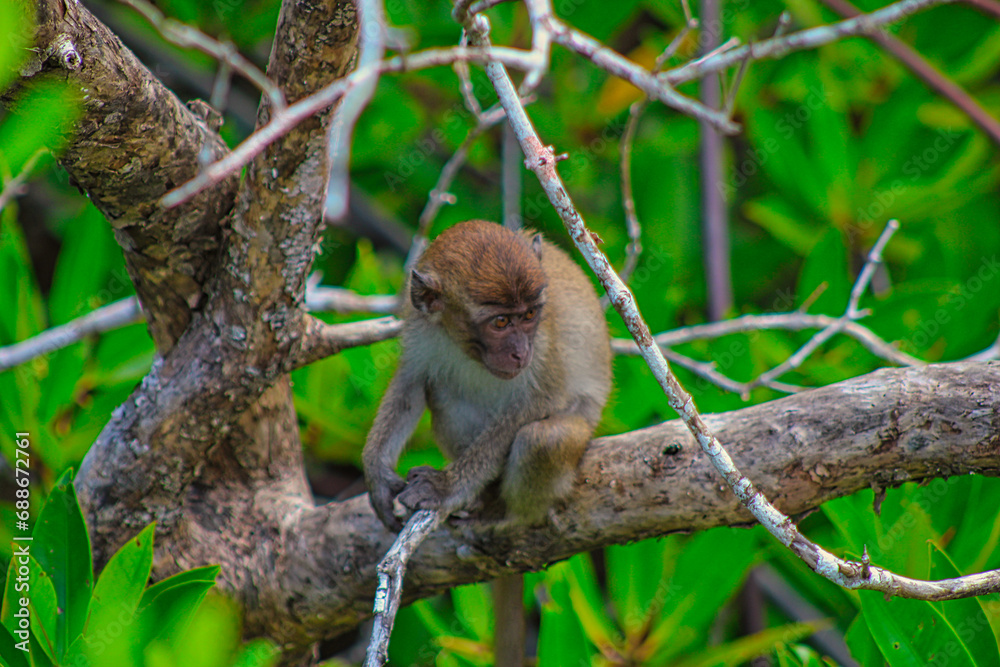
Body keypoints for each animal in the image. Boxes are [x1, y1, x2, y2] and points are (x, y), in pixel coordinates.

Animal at [361, 220, 611, 665]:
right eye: (499, 323)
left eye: (528, 316)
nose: (519, 352)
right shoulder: (421, 327)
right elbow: (412, 384)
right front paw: (376, 473)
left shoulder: (544, 345)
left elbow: (537, 404)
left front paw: (444, 489)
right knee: (444, 391)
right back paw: (480, 496)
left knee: (540, 439)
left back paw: (503, 515)